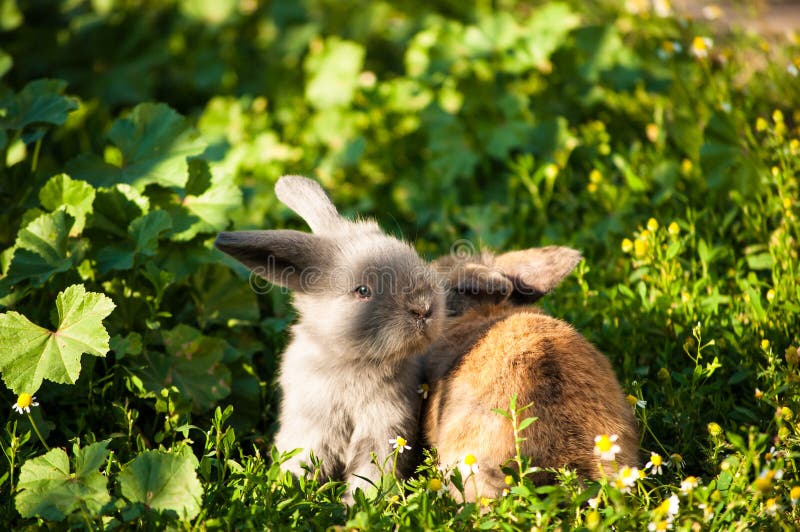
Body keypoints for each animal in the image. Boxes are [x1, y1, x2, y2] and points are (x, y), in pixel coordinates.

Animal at [214, 176, 444, 500]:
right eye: (362, 291)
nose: (424, 307)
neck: (353, 362)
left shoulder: (383, 431)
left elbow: (370, 476)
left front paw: (359, 504)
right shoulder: (312, 429)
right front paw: (288, 492)